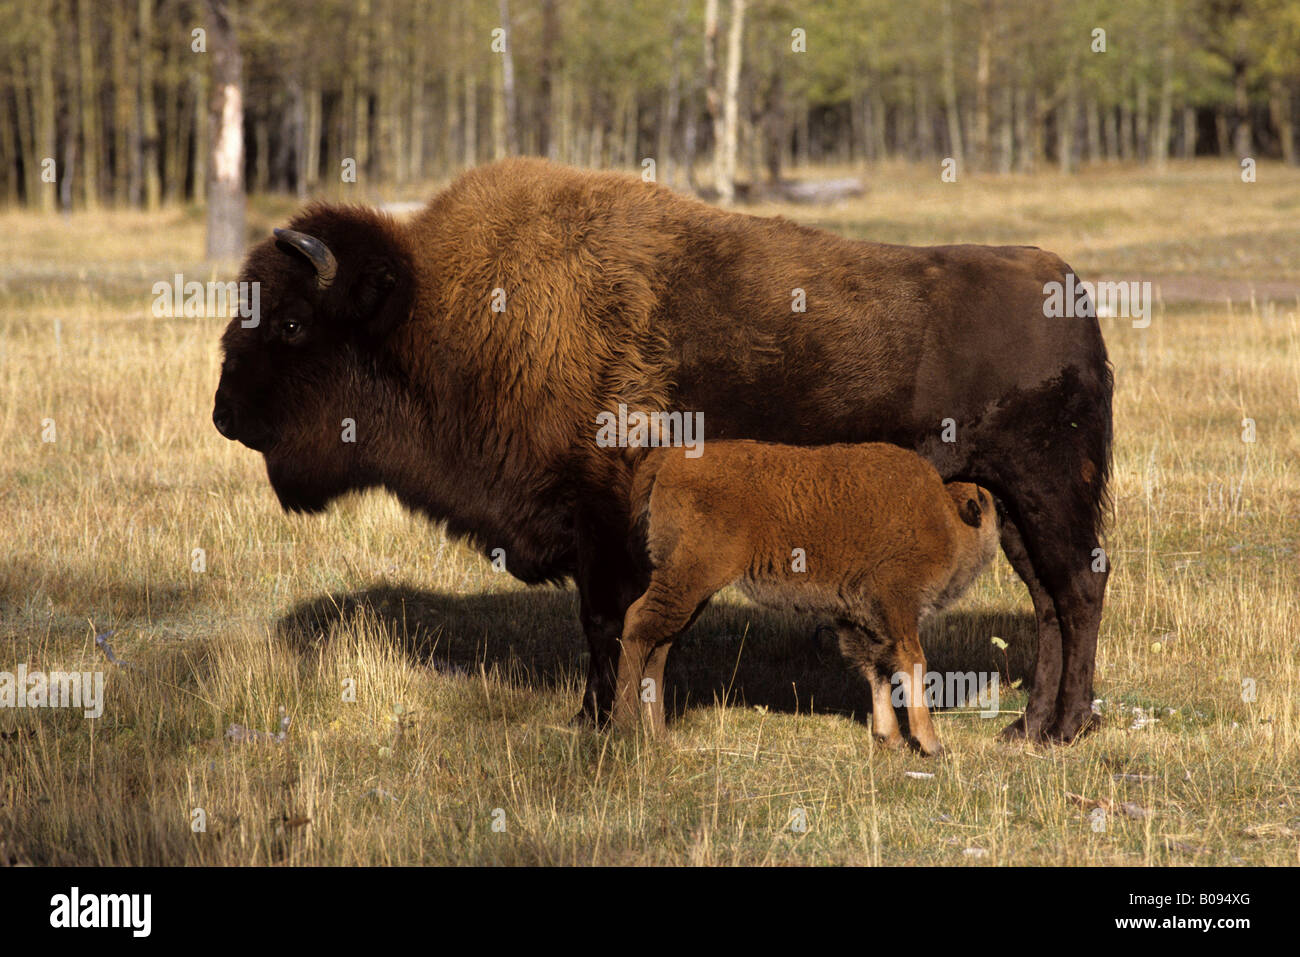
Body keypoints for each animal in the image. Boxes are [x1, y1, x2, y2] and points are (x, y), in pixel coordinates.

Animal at [212, 157, 1112, 744]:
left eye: (289, 322)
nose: (224, 414)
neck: (444, 314)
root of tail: (1067, 289)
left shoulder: (607, 522)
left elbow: (606, 621)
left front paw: (597, 722)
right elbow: (612, 624)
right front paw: (601, 717)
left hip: (1049, 492)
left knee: (1076, 592)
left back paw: (1062, 731)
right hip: (1010, 501)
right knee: (1047, 603)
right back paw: (1027, 728)